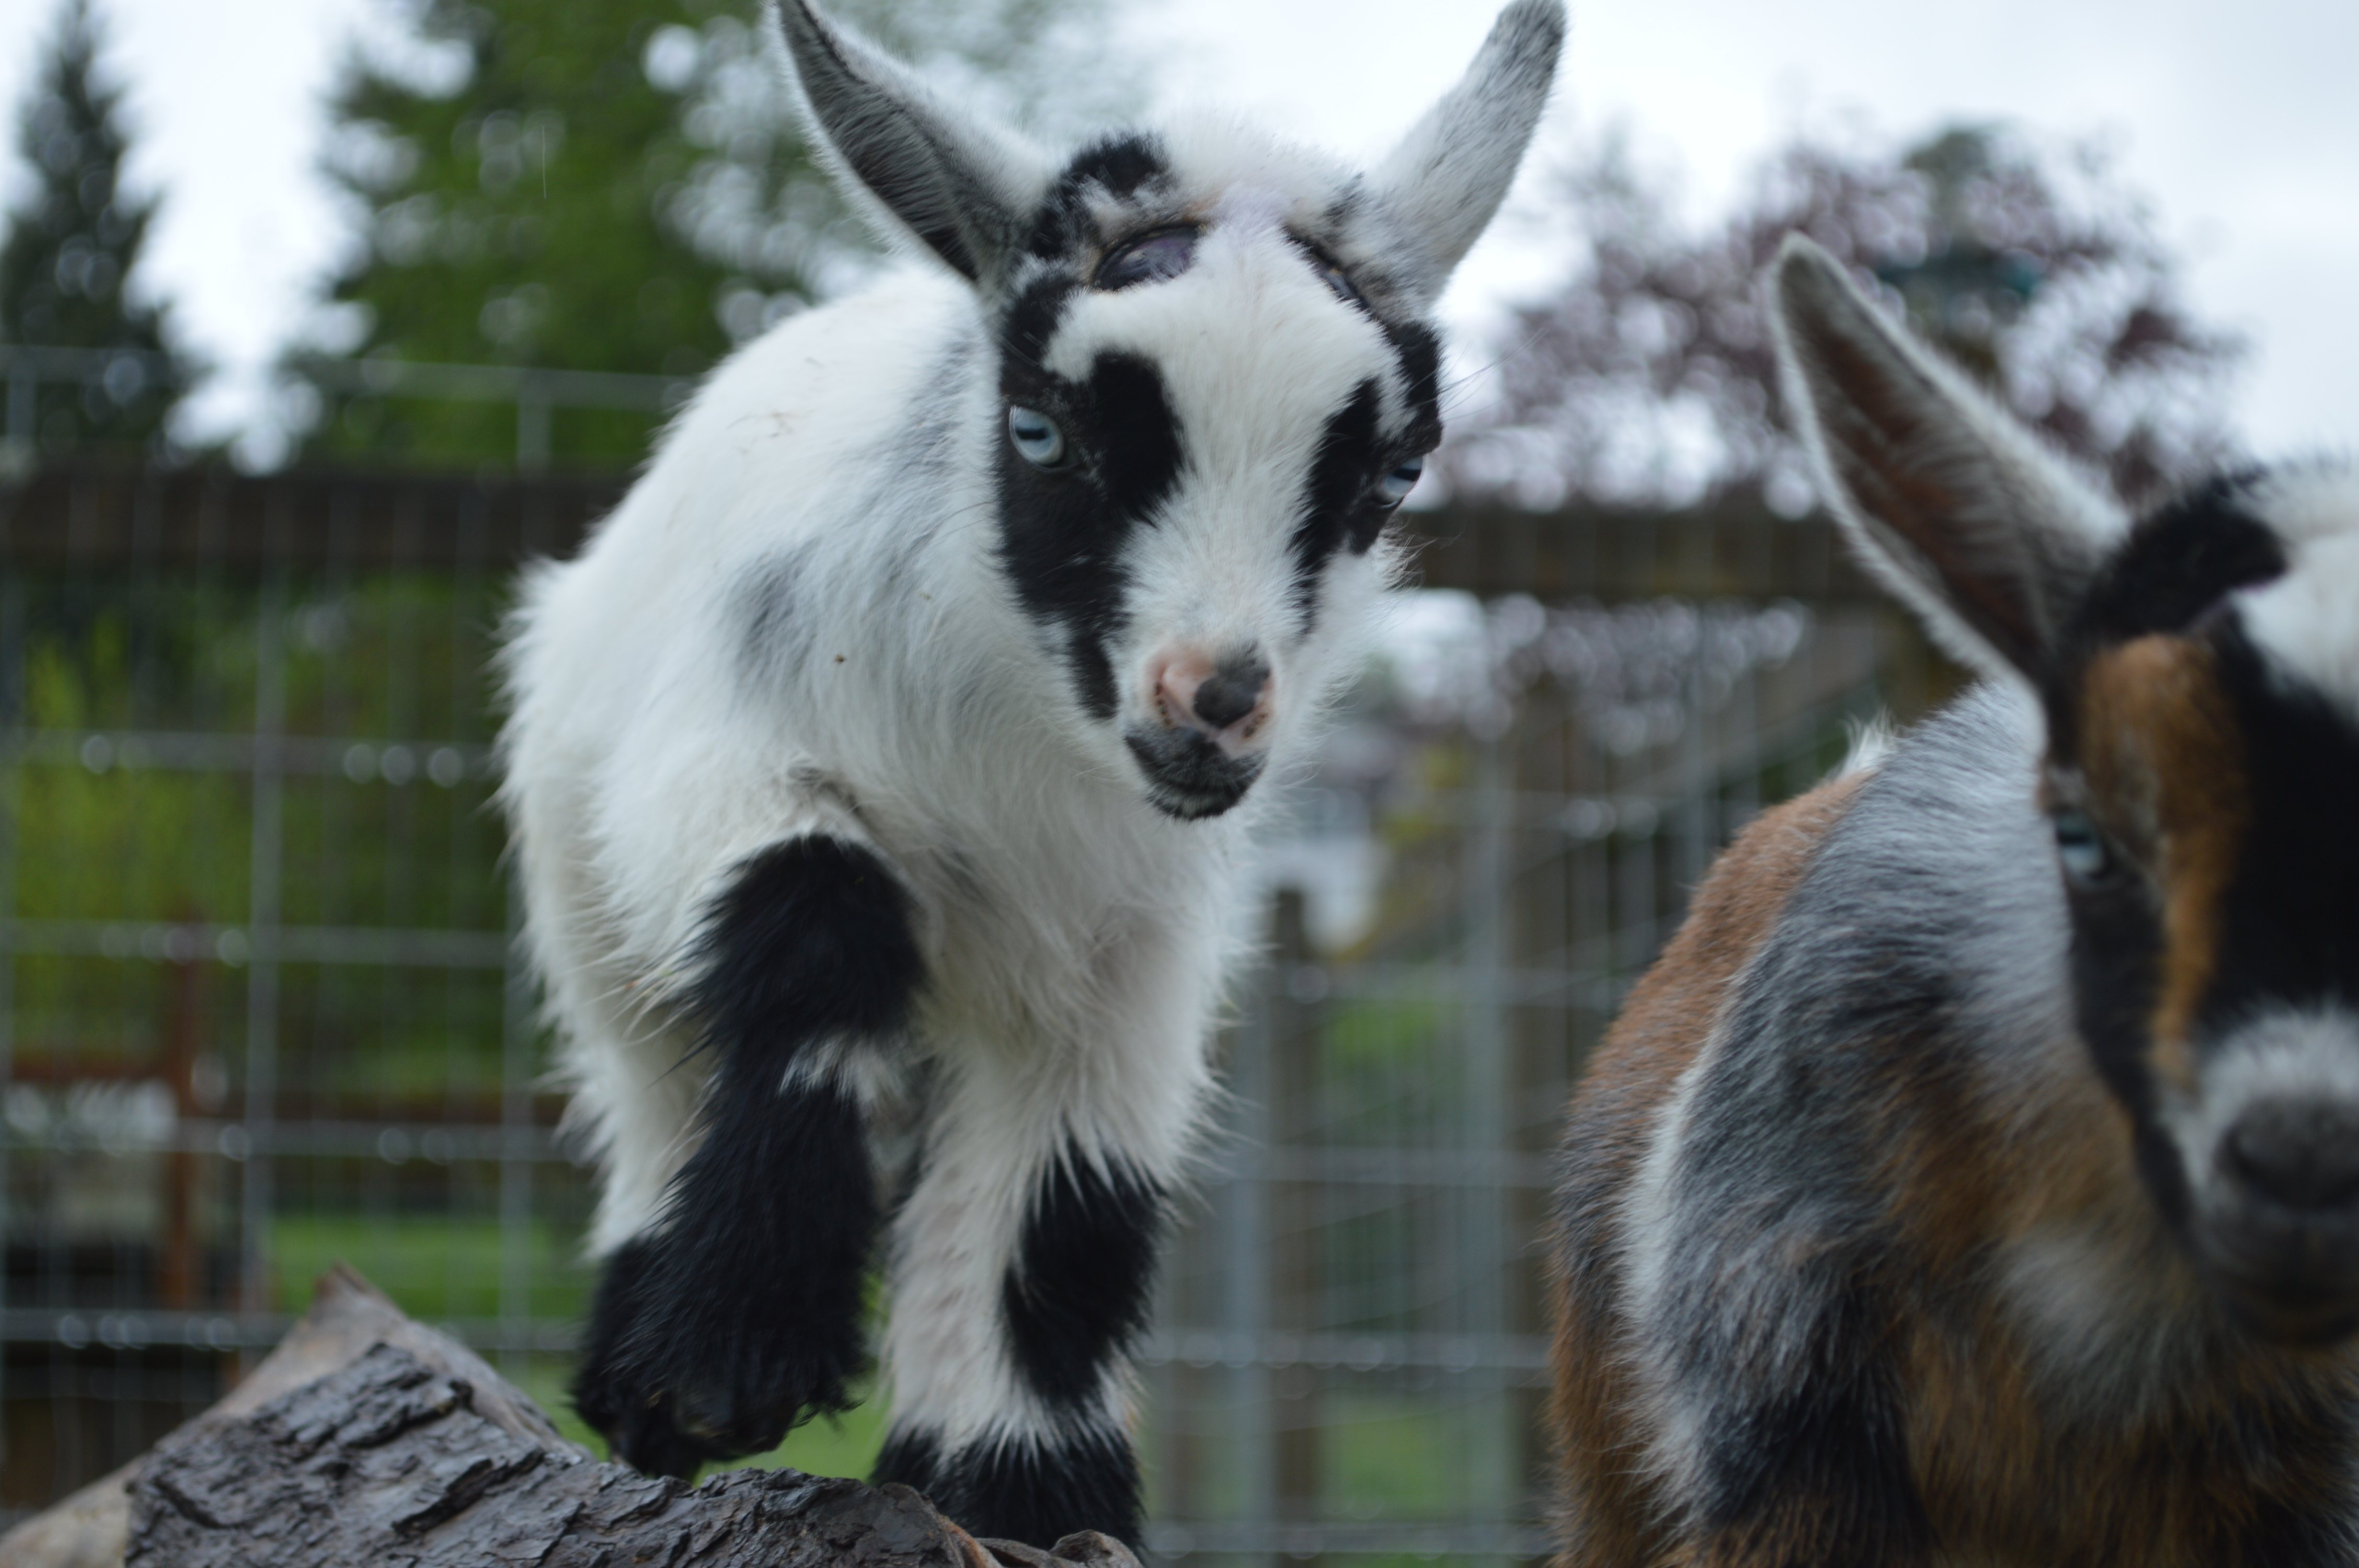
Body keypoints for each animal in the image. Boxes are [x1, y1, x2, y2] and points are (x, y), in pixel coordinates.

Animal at [499, 0, 1562, 1546]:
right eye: (1043, 432)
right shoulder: (720, 771)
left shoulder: (1131, 938)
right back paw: (647, 1378)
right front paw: (727, 1359)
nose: (1213, 703)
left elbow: (1068, 1183)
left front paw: (1029, 1496)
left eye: (1393, 474)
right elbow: (816, 929)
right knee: (651, 1074)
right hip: (584, 898)